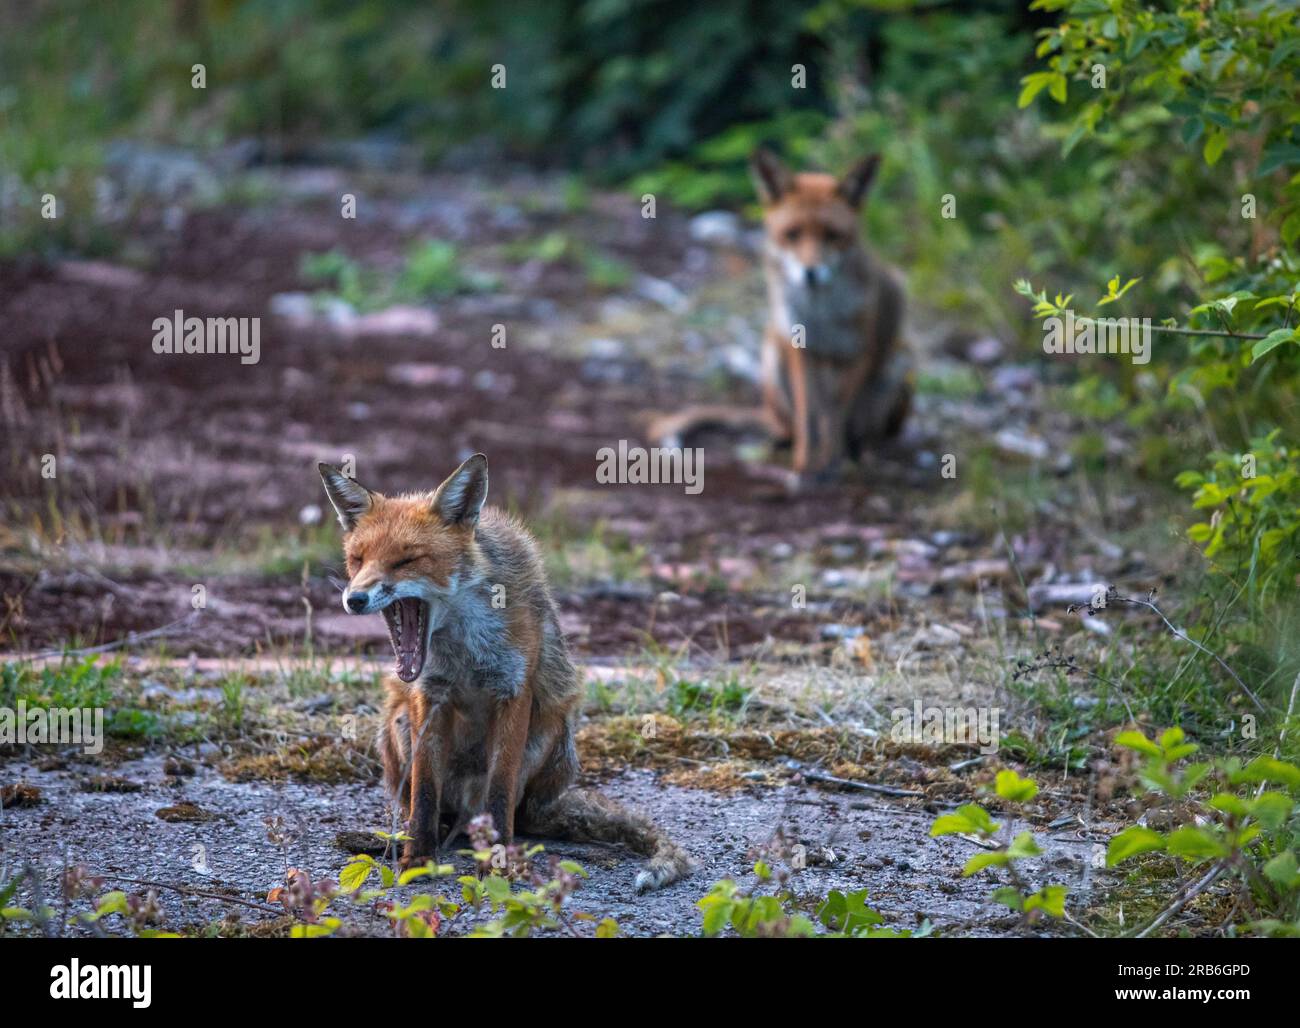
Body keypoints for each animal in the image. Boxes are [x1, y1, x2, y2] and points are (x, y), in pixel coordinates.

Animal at [318, 455, 691, 893]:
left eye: (406, 560)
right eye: (358, 560)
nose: (354, 599)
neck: (463, 643)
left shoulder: (513, 691)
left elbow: (500, 785)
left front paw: (498, 865)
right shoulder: (428, 694)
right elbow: (424, 793)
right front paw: (417, 859)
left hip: (548, 733)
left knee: (507, 811)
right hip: (398, 726)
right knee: (428, 809)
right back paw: (396, 839)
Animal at [649, 147, 912, 484]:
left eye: (833, 236)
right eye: (792, 234)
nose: (811, 273)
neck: (821, 312)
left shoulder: (860, 350)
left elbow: (836, 418)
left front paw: (830, 466)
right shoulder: (799, 346)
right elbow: (809, 419)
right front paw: (805, 466)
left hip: (897, 363)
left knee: (860, 430)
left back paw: (860, 454)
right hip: (773, 353)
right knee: (788, 425)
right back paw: (787, 443)